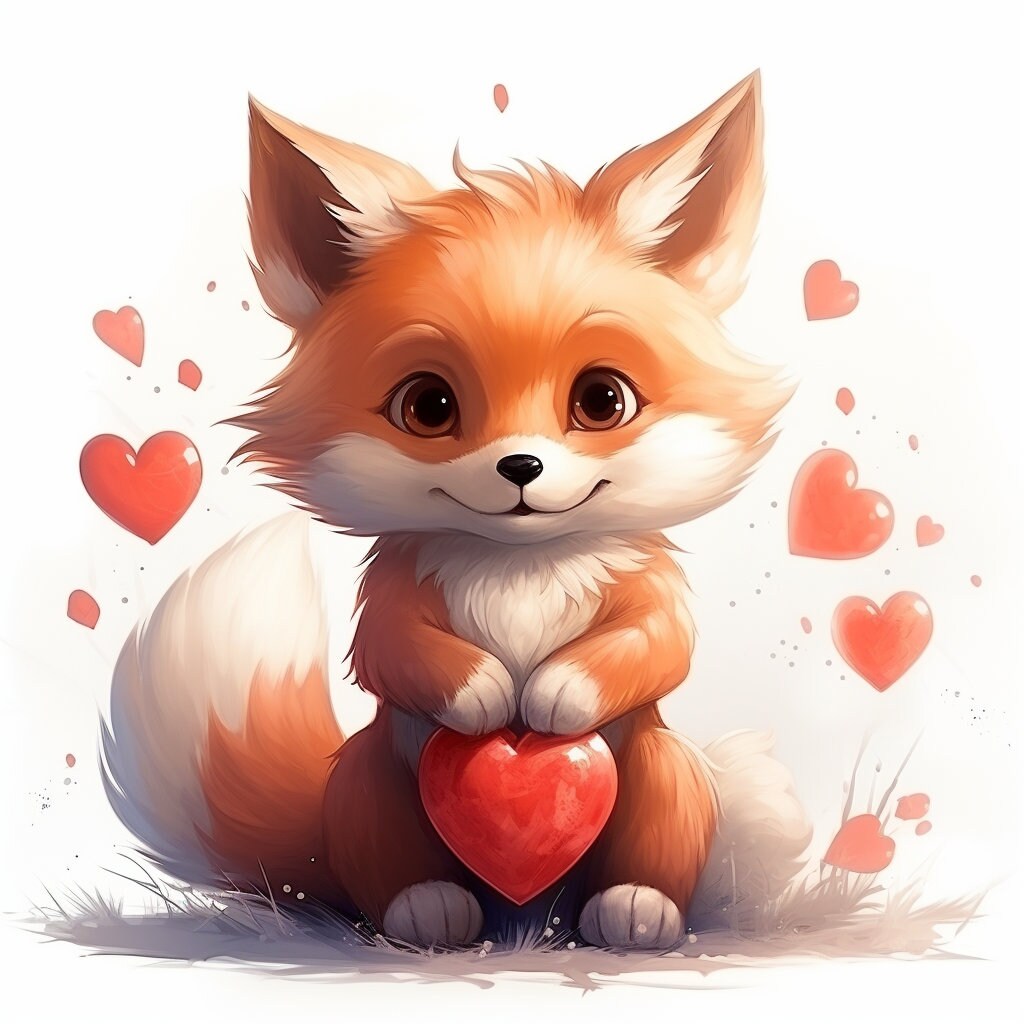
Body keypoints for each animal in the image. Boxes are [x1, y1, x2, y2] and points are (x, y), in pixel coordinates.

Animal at [101, 70, 811, 951]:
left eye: (601, 400)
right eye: (429, 406)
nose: (520, 467)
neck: (521, 567)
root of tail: (529, 914)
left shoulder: (648, 593)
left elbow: (653, 646)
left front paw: (552, 693)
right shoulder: (392, 603)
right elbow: (402, 654)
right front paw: (487, 698)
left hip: (661, 772)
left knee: (655, 838)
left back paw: (636, 908)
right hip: (366, 786)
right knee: (389, 872)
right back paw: (427, 908)